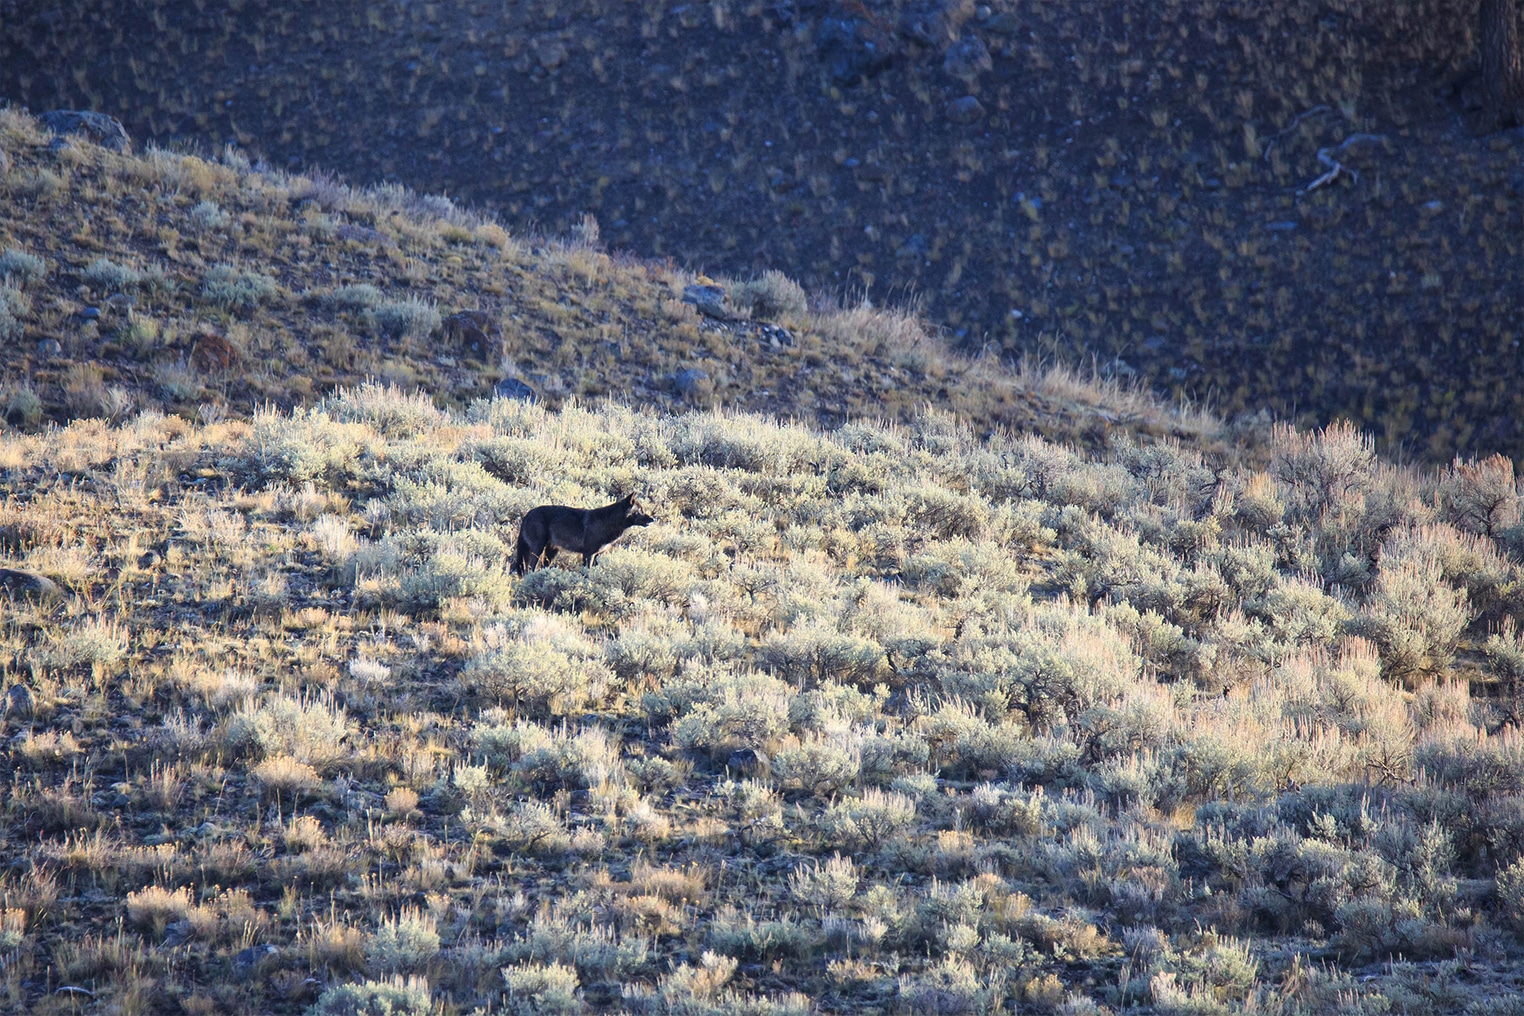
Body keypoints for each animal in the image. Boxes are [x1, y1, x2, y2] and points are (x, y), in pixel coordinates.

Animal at [511, 494, 653, 575]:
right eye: (640, 511)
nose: (653, 519)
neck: (608, 522)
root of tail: (528, 514)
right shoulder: (588, 554)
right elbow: (586, 574)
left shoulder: (596, 556)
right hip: (538, 550)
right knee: (530, 568)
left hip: (551, 553)